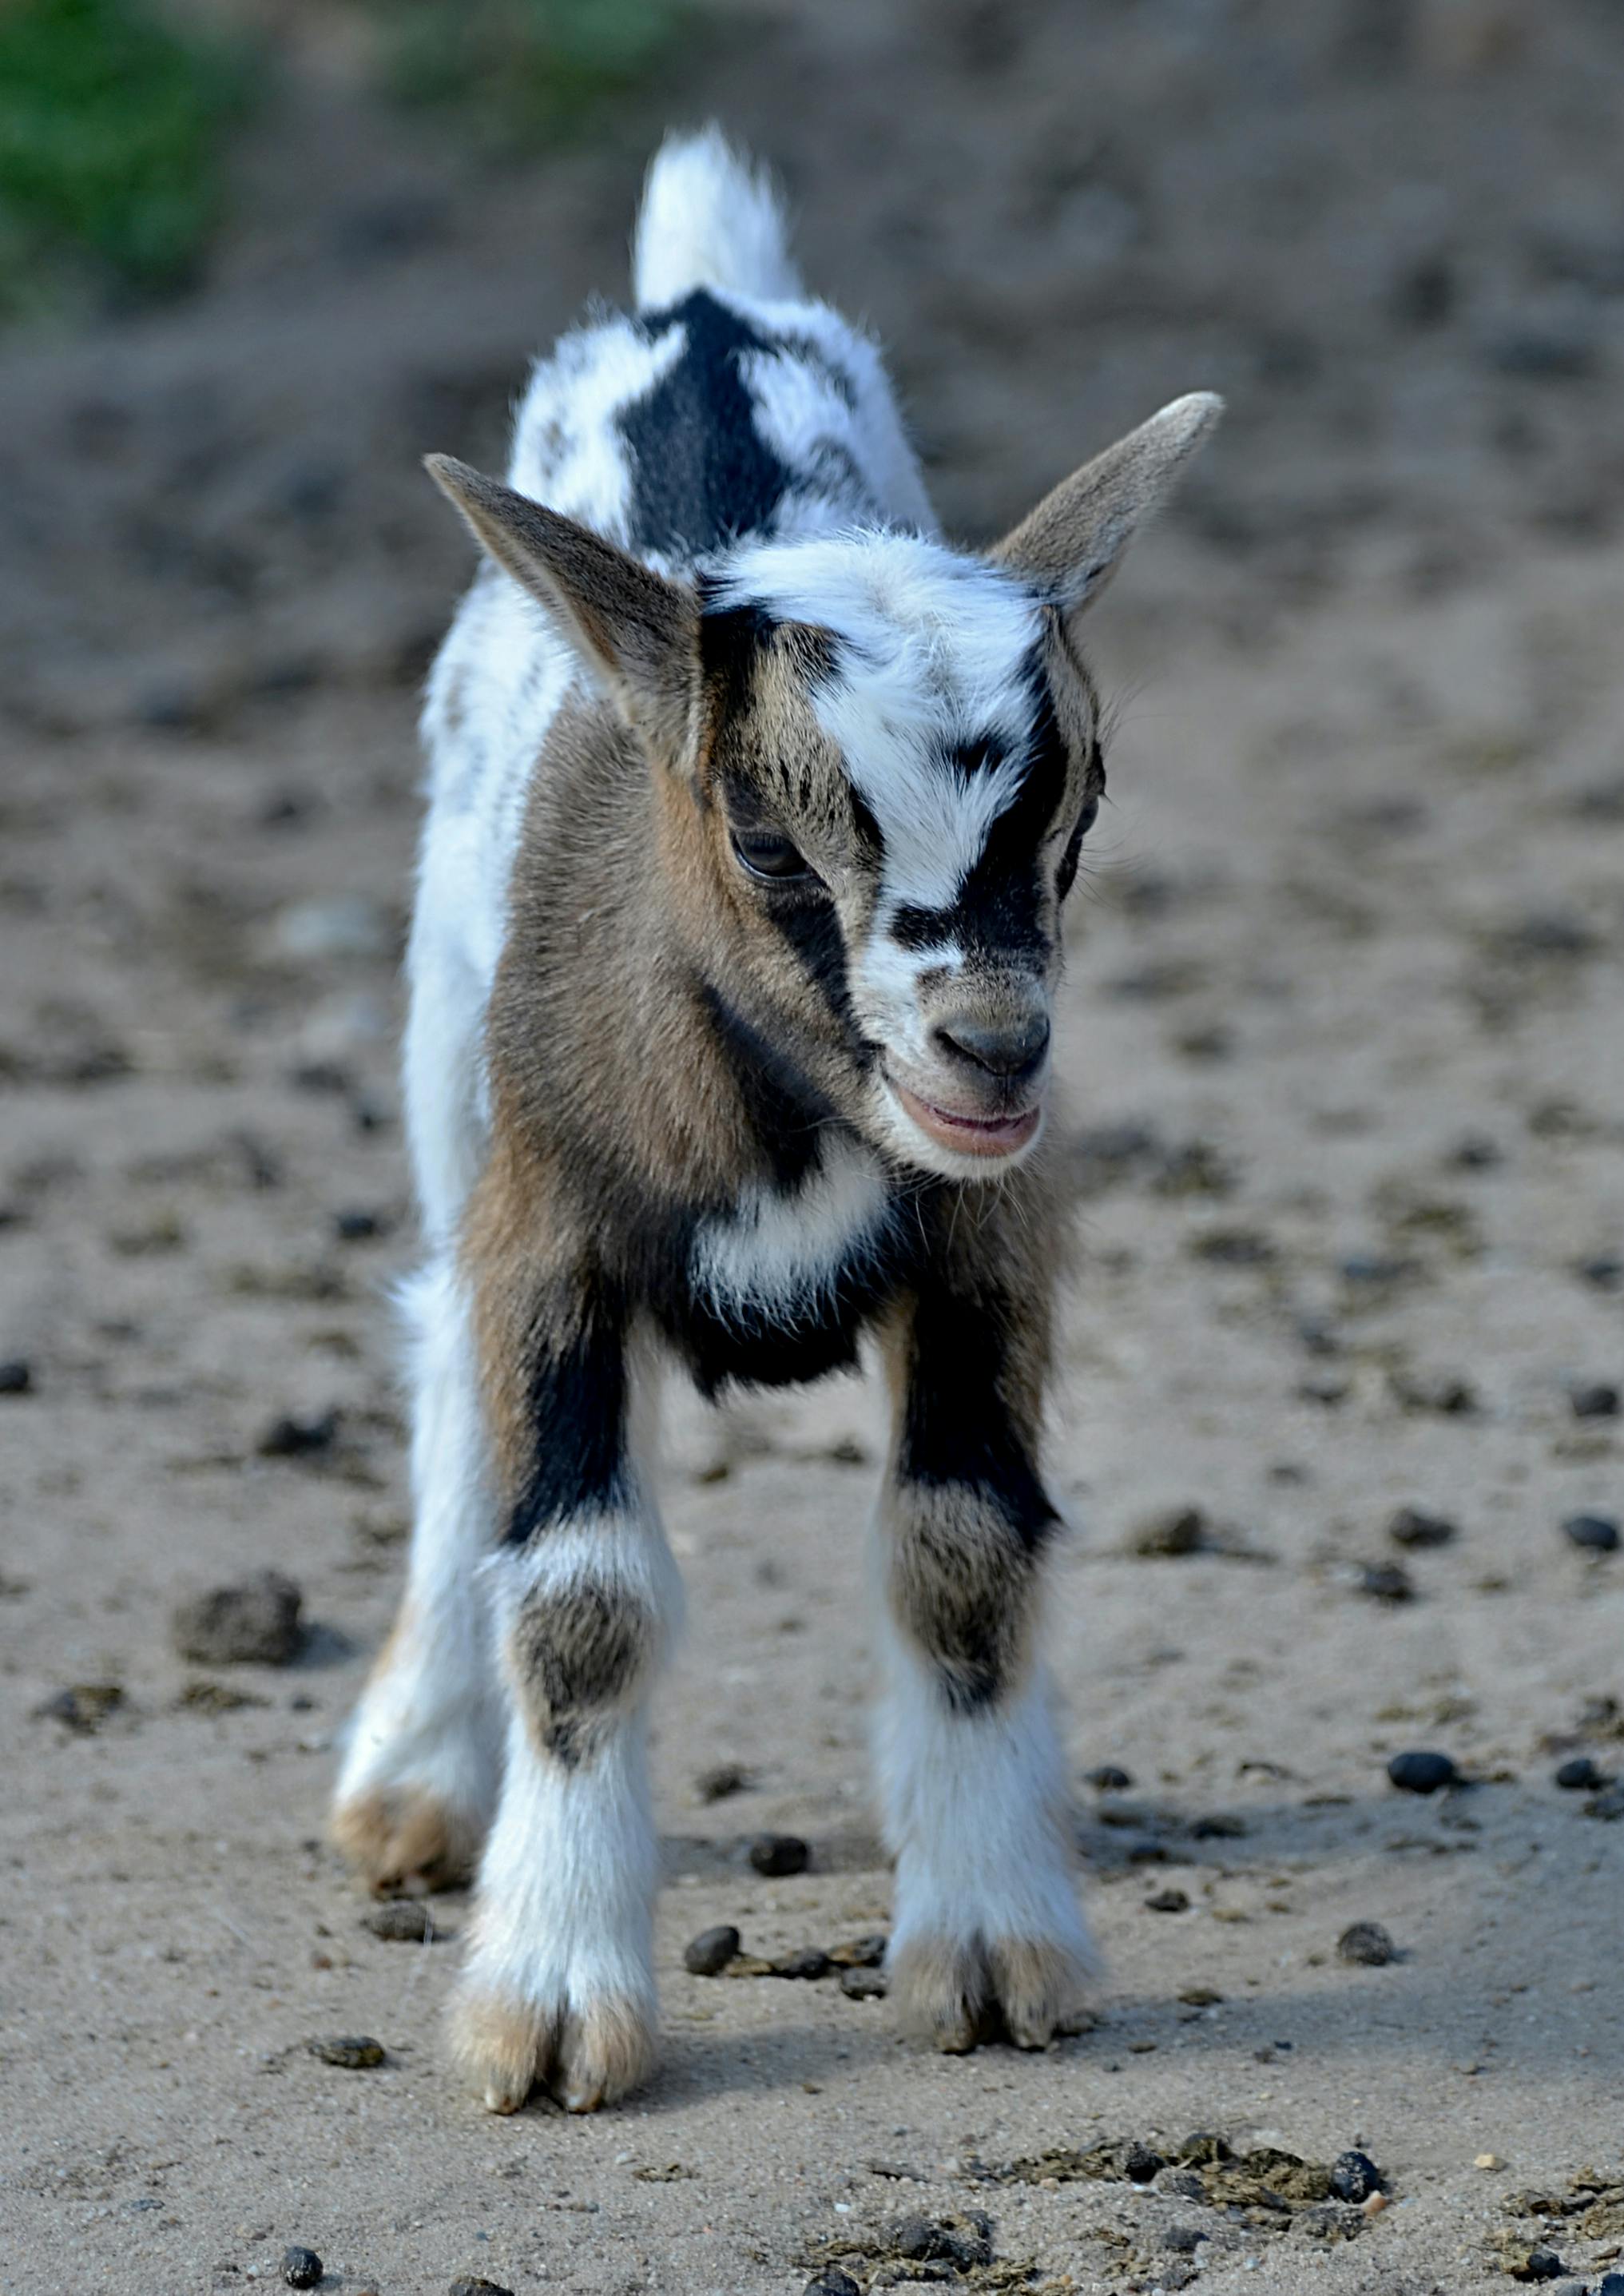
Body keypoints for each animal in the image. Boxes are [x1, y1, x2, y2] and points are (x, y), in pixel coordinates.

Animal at [329, 126, 1220, 2113]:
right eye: (759, 830)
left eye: (1081, 797)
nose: (989, 1049)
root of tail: (699, 304)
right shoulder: (552, 1234)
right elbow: (577, 1597)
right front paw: (548, 2002)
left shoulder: (985, 1241)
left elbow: (961, 1553)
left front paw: (988, 1937)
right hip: (443, 1064)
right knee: (440, 1376)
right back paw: (415, 1774)